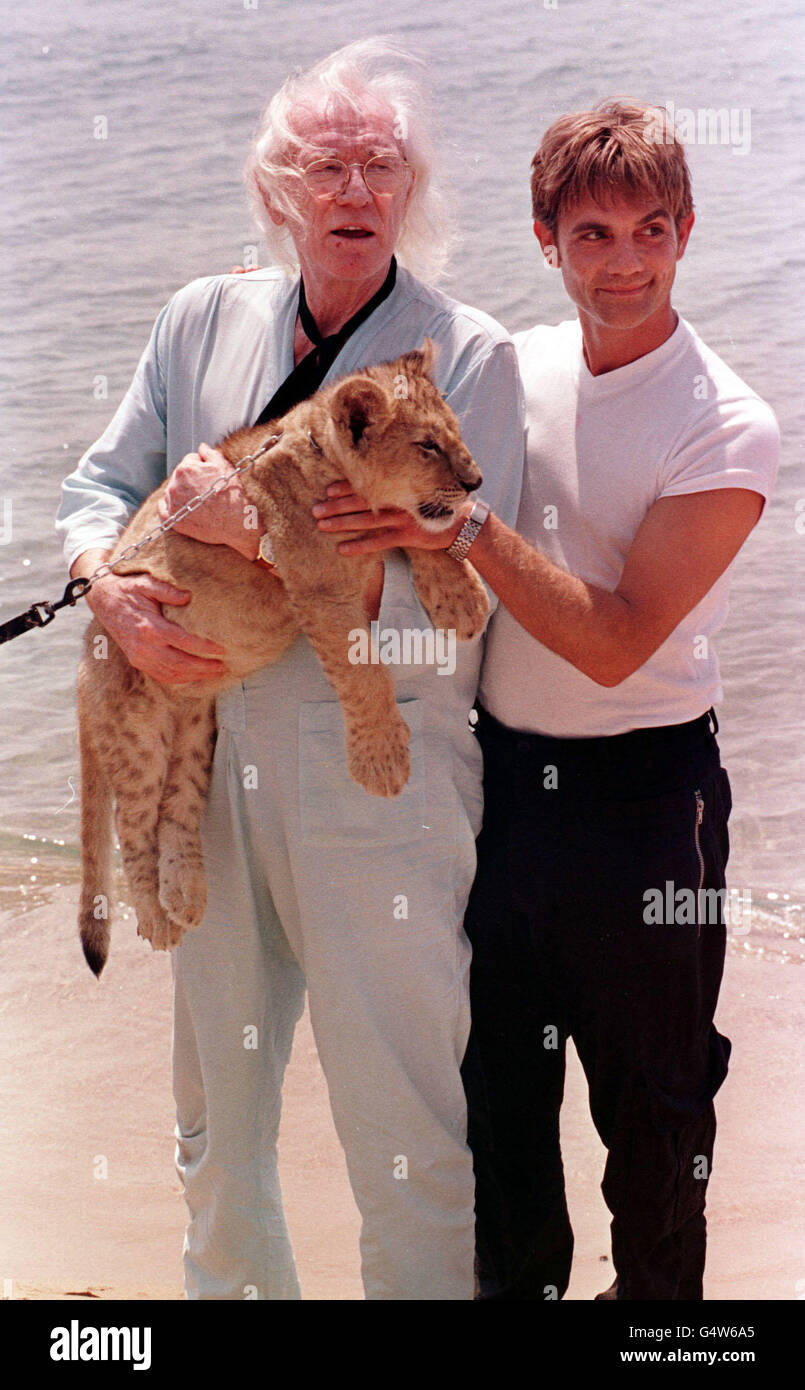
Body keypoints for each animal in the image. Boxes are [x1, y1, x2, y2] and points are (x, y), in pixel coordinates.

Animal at [77, 342, 489, 975]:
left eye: (456, 434)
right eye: (426, 445)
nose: (476, 480)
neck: (326, 460)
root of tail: (83, 653)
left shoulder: (380, 537)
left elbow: (419, 534)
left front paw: (463, 600)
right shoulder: (317, 586)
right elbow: (362, 670)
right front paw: (381, 760)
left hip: (194, 729)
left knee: (175, 808)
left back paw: (186, 894)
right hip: (136, 729)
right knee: (133, 823)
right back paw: (158, 919)